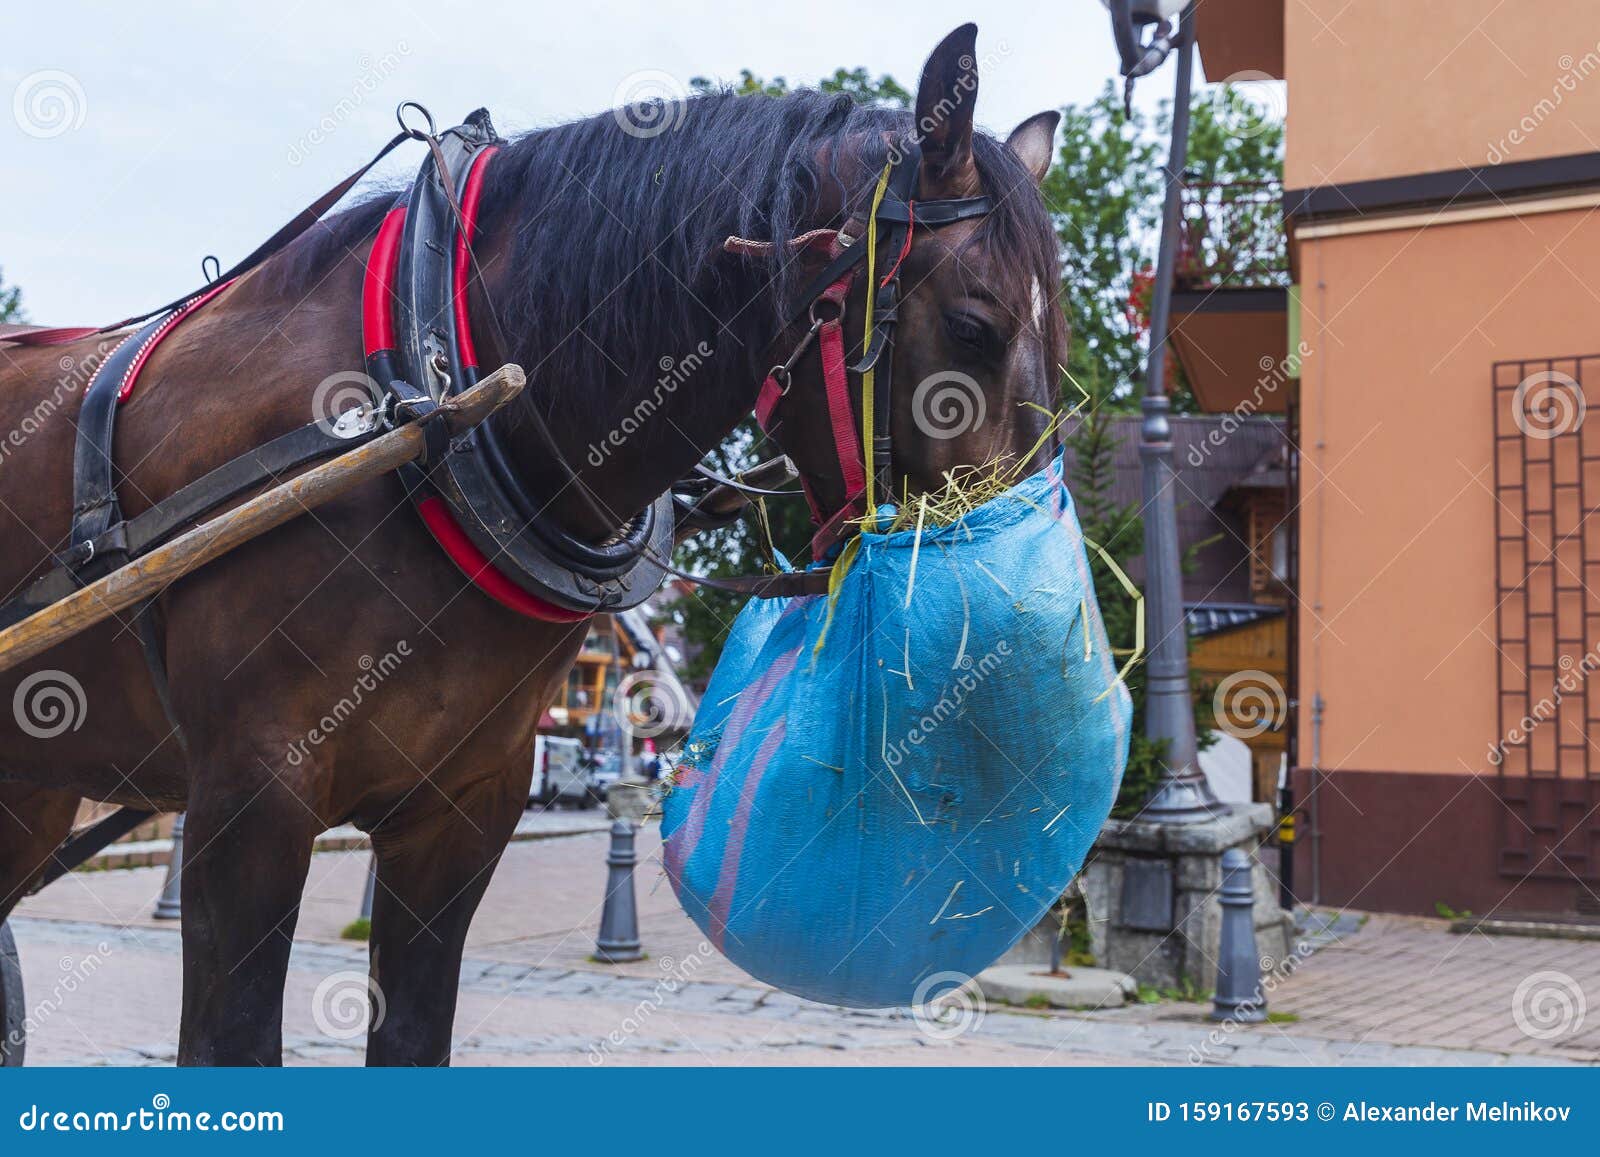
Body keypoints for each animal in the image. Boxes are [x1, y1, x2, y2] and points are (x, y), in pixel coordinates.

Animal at [0, 23, 1065, 1065]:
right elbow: (228, 1045)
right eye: (974, 327)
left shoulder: (463, 812)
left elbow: (415, 1035)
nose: (1006, 610)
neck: (433, 405)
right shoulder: (247, 801)